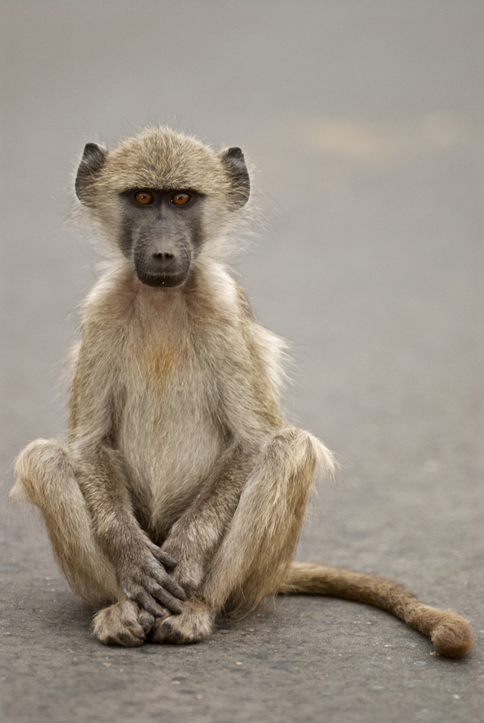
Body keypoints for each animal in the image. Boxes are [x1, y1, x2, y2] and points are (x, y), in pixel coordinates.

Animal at [10, 126, 473, 658]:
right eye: (143, 198)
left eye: (183, 199)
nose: (164, 253)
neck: (163, 298)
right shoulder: (101, 308)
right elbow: (88, 445)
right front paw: (132, 562)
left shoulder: (222, 306)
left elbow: (254, 441)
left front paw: (187, 556)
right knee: (44, 460)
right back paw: (122, 608)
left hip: (251, 578)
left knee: (288, 449)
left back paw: (196, 610)